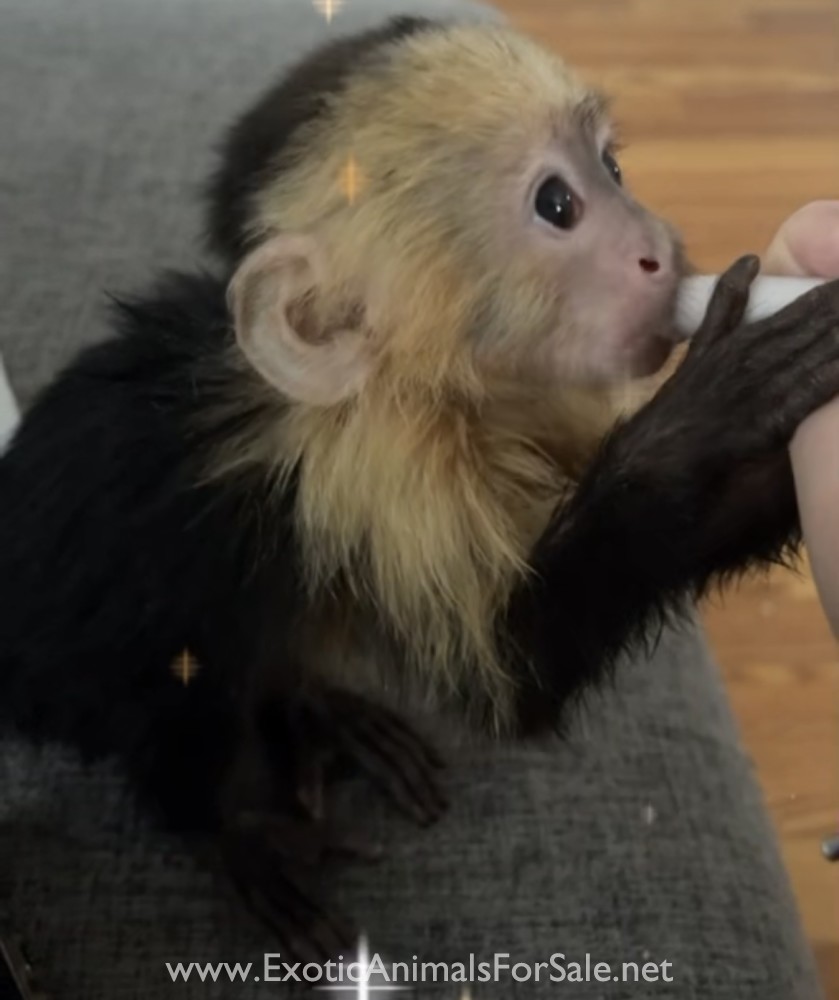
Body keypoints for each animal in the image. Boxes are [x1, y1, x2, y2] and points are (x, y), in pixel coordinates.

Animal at [3, 15, 839, 966]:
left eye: (613, 168)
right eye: (558, 205)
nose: (659, 246)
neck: (437, 392)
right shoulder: (379, 461)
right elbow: (503, 679)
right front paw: (719, 400)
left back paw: (312, 705)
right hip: (82, 682)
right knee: (177, 694)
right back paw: (237, 831)